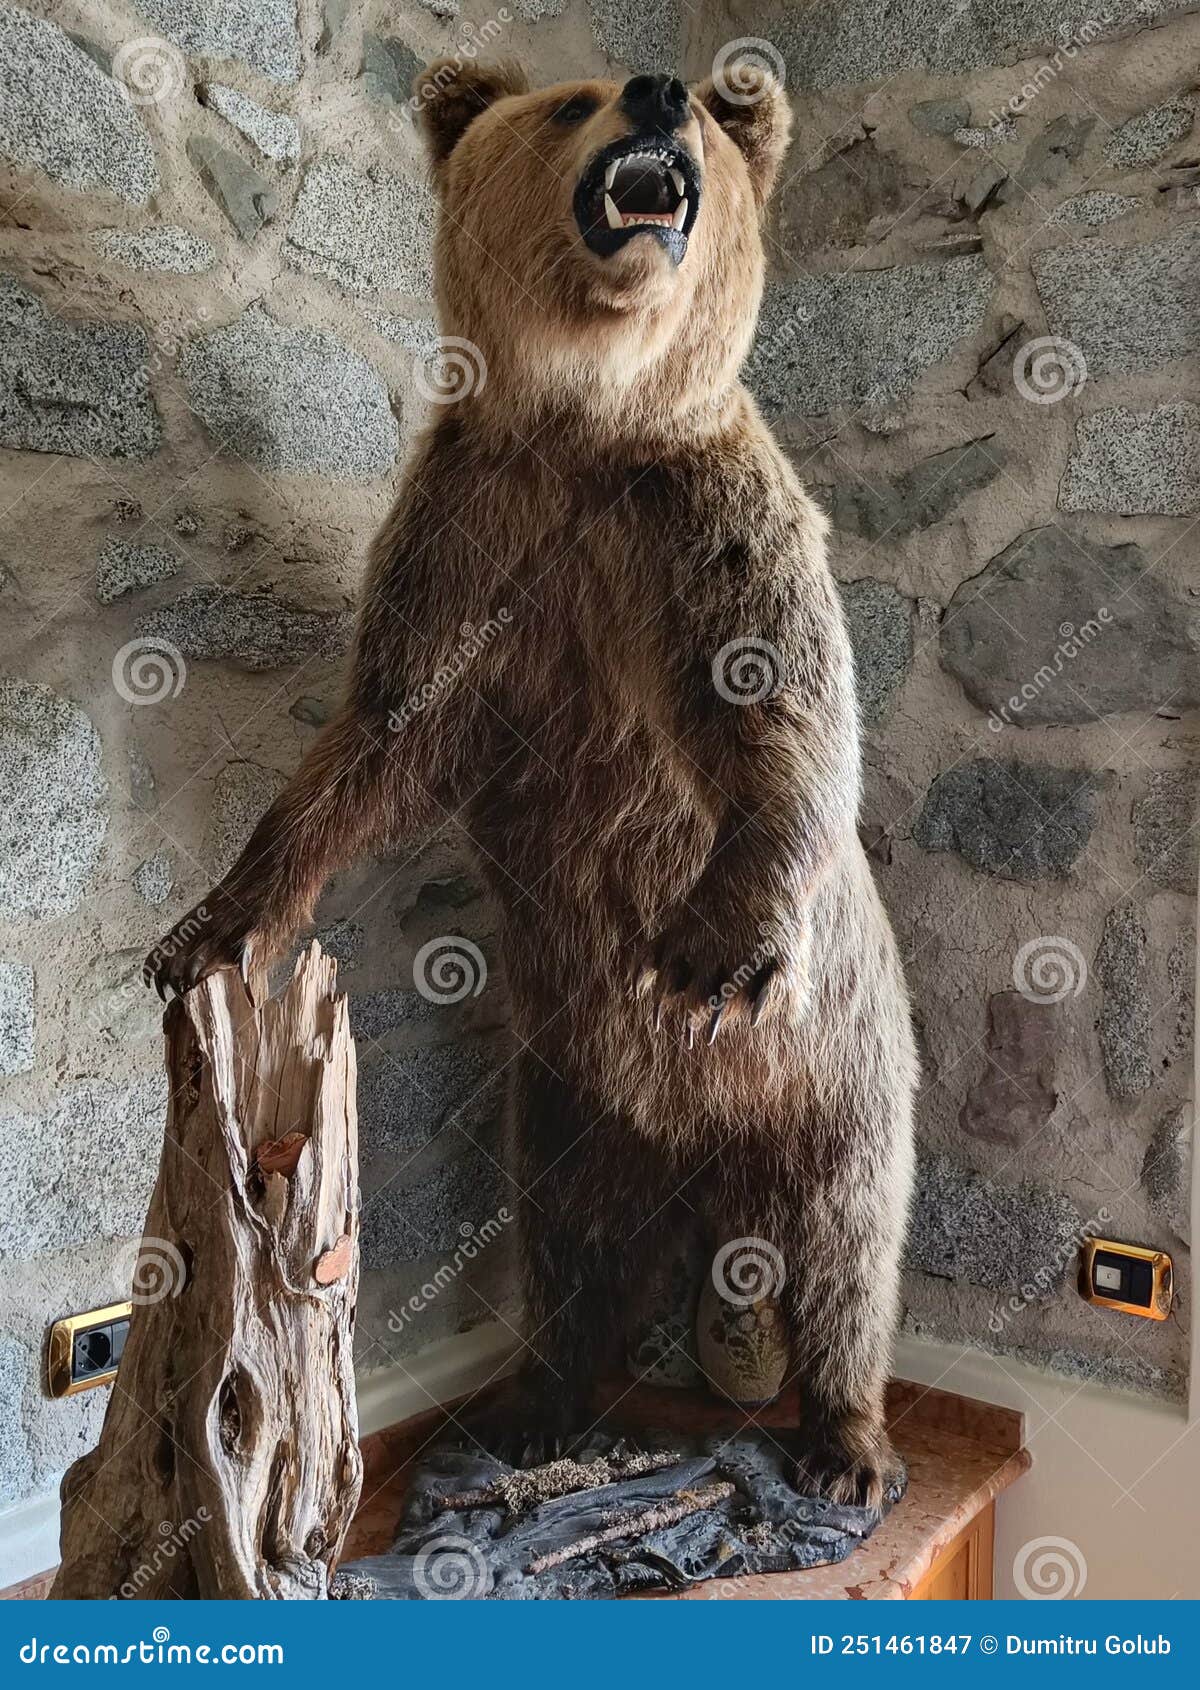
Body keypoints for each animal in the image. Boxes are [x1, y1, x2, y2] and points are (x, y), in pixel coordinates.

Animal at [147, 58, 918, 1509]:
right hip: (565, 1096)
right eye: (573, 99)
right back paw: (541, 1403)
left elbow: (784, 706)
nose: (663, 92)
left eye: (703, 115)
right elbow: (376, 740)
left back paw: (845, 1440)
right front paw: (208, 922)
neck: (587, 416)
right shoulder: (468, 531)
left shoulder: (701, 516)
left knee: (848, 1243)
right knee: (566, 1241)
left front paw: (714, 943)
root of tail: (702, 1168)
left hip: (834, 1078)